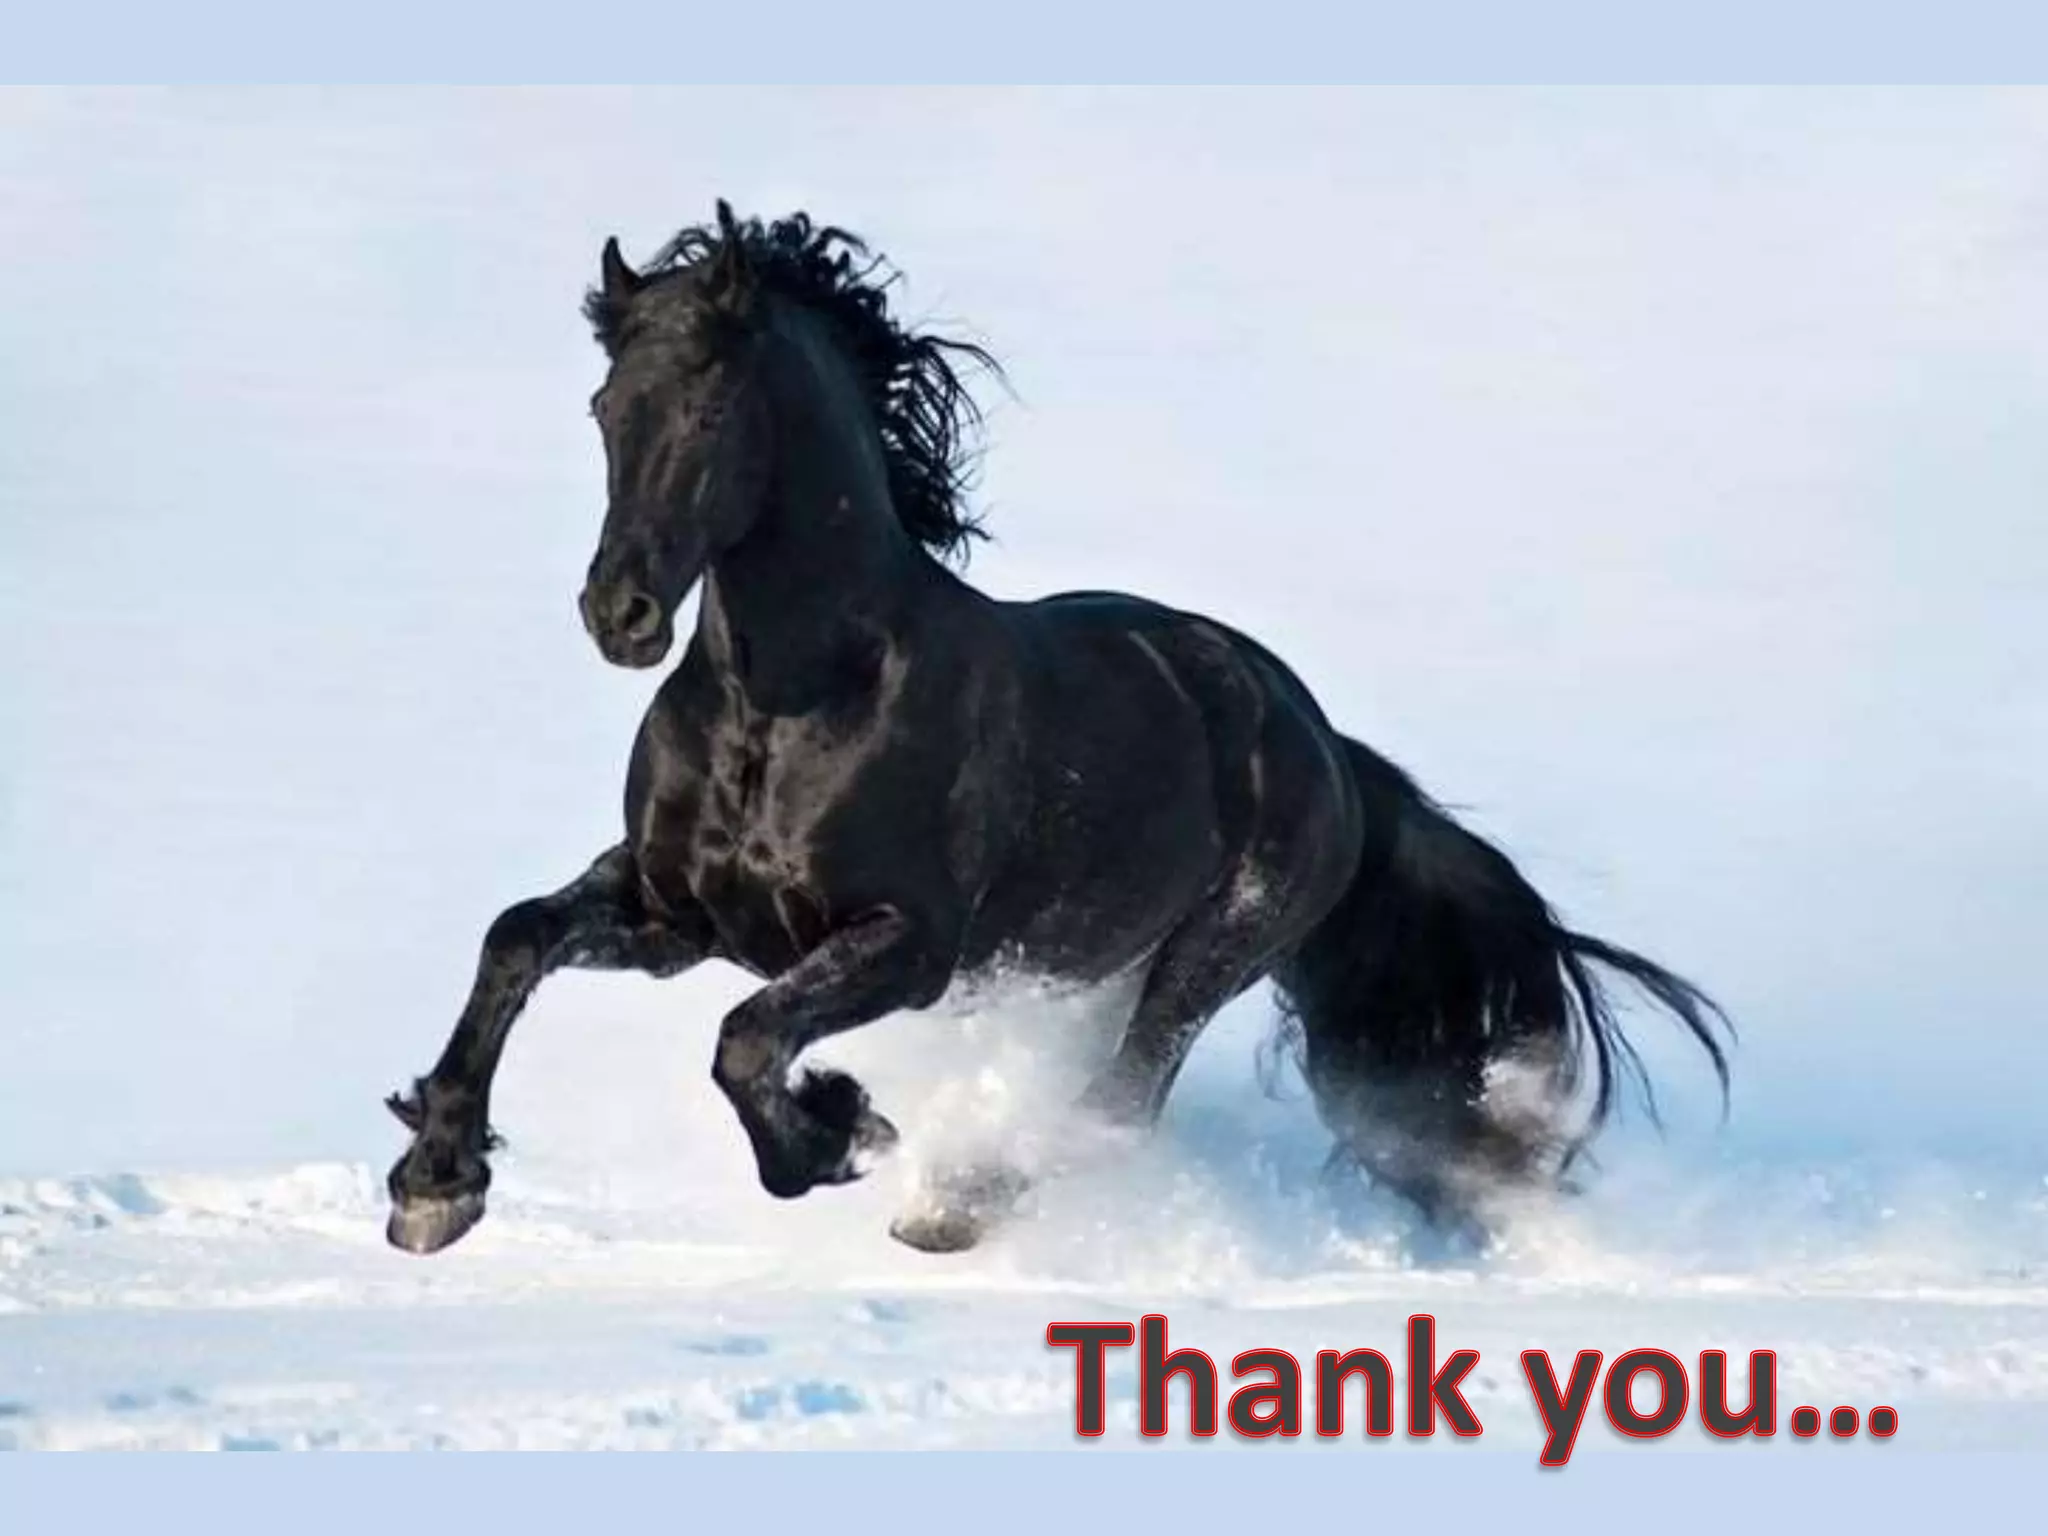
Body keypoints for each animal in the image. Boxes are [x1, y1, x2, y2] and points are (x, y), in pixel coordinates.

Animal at [384, 202, 1731, 1257]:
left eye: (710, 413)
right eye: (606, 405)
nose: (617, 613)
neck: (790, 704)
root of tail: (1324, 749)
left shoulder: (907, 945)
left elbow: (745, 1041)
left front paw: (842, 1129)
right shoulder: (677, 917)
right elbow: (517, 939)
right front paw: (436, 1181)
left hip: (1204, 957)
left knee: (1120, 1101)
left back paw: (956, 1202)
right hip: (1099, 960)